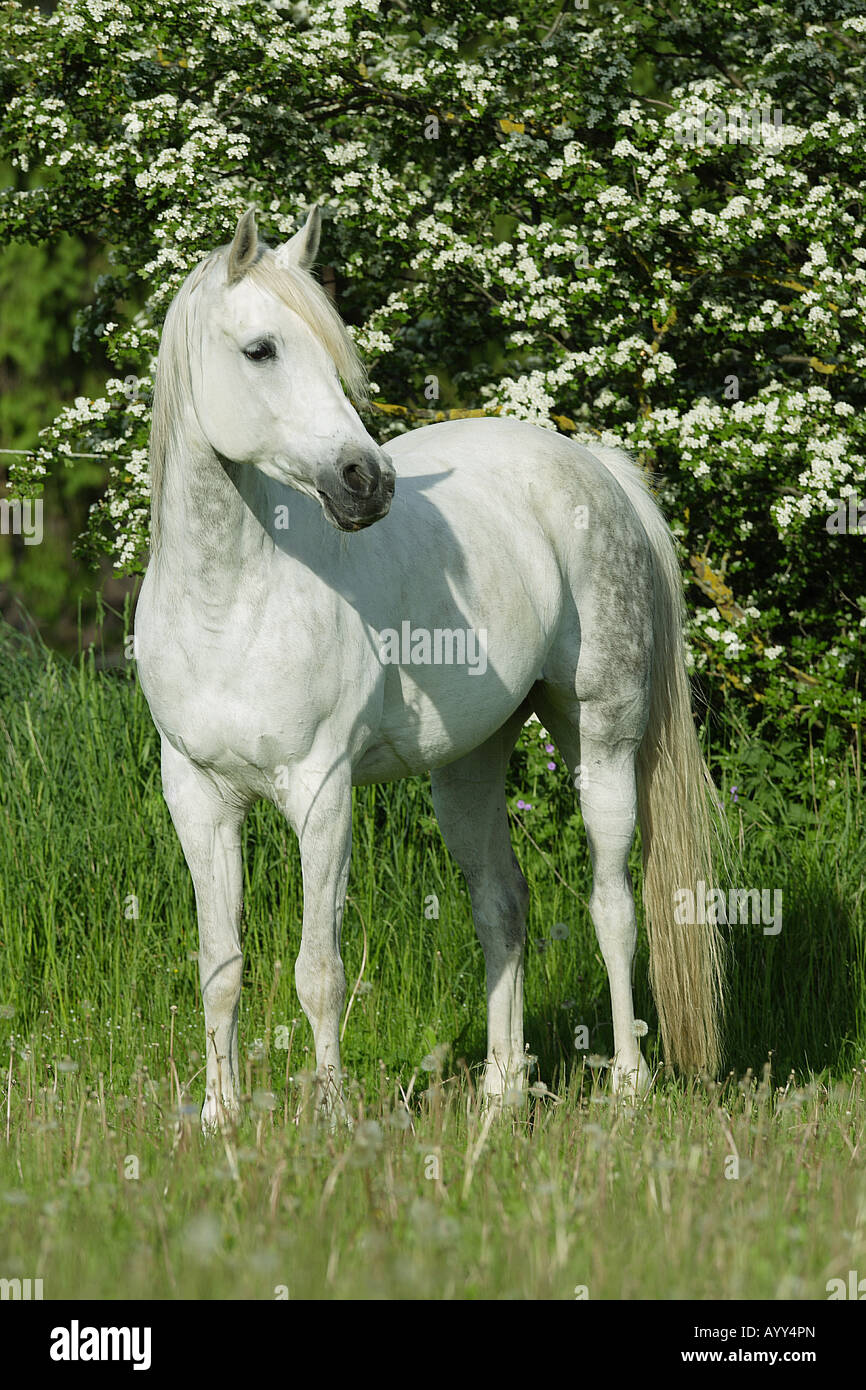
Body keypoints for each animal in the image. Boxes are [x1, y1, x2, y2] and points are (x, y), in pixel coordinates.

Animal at [135, 206, 725, 1127]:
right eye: (261, 349)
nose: (365, 481)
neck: (231, 605)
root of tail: (596, 468)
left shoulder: (322, 794)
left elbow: (319, 972)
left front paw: (332, 1118)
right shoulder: (196, 796)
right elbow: (220, 970)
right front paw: (219, 1119)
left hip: (601, 737)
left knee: (613, 904)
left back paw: (628, 1085)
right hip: (471, 763)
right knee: (501, 907)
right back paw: (503, 1093)